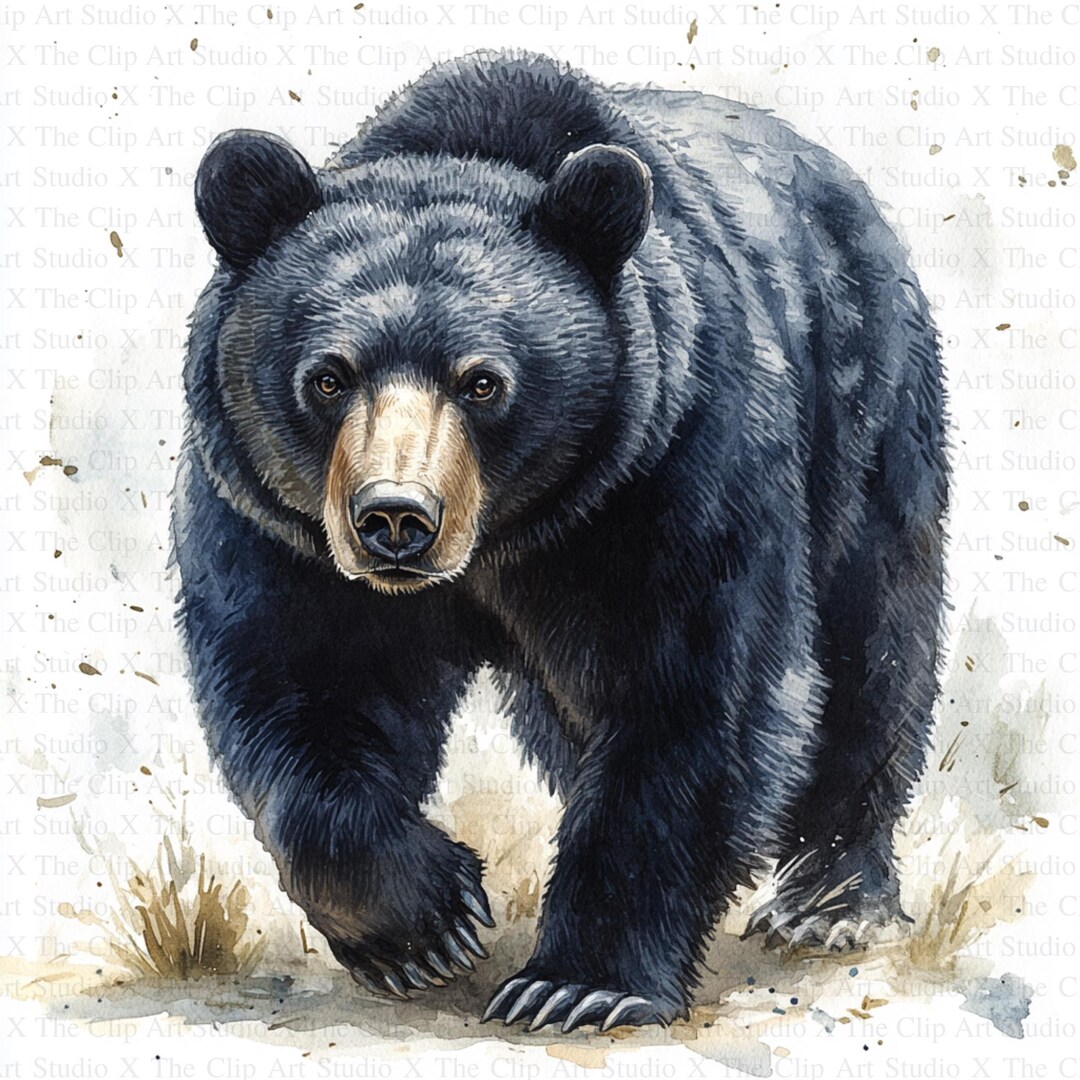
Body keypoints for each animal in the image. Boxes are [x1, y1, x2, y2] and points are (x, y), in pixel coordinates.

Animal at [173, 50, 948, 1033]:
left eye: (483, 381)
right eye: (328, 376)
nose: (396, 519)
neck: (507, 536)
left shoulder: (669, 471)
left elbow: (697, 694)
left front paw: (579, 982)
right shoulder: (279, 524)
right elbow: (300, 681)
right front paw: (427, 925)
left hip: (867, 411)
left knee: (872, 643)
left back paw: (831, 898)